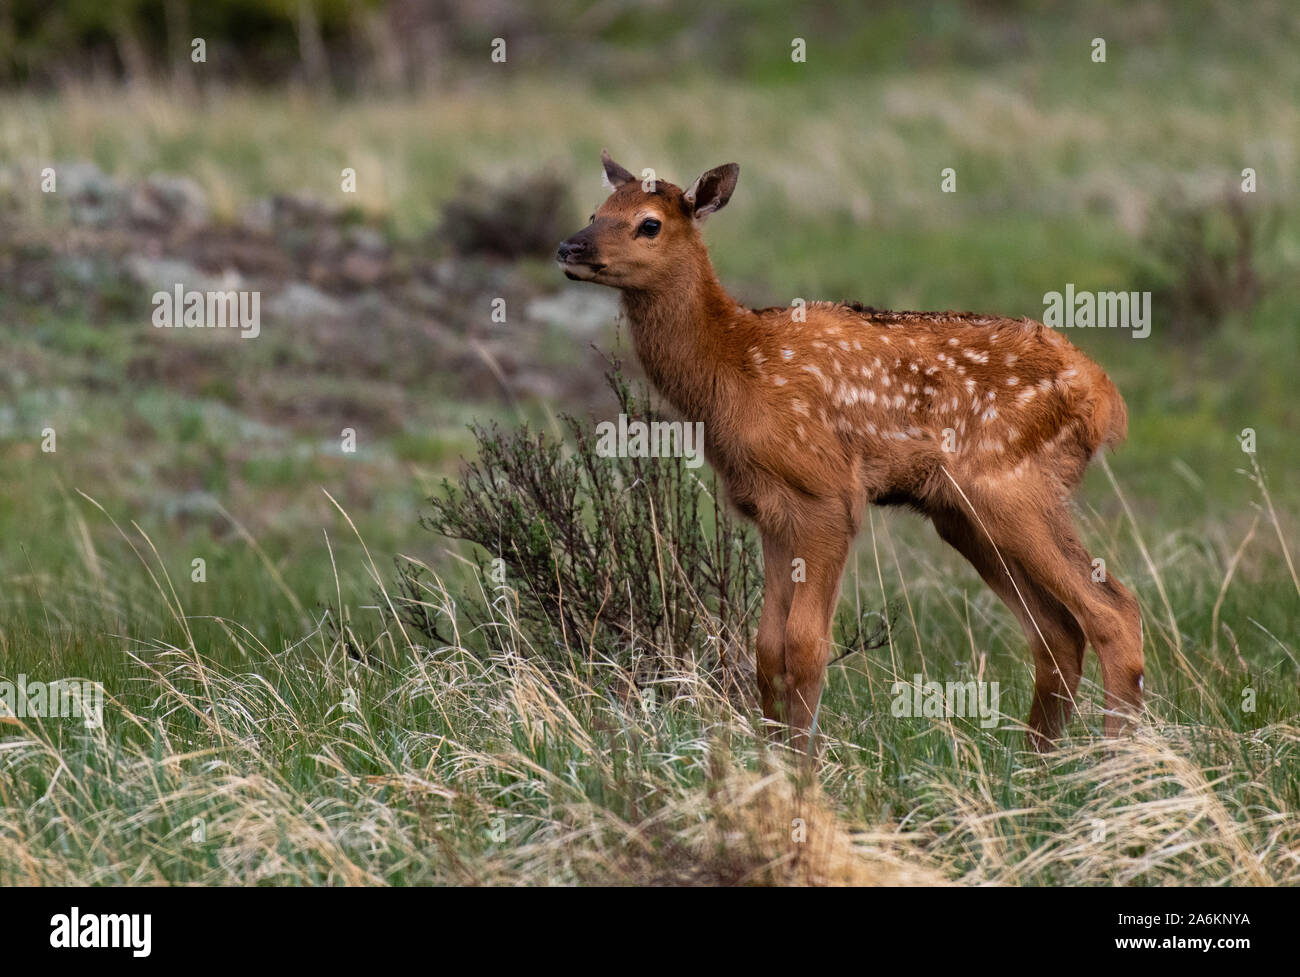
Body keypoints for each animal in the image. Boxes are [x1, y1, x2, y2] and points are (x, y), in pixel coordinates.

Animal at [556, 150, 1144, 754]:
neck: (736, 370)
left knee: (1113, 611)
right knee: (1059, 632)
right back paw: (1037, 763)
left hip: (1011, 483)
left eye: (649, 223)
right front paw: (775, 756)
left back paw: (1114, 759)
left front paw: (804, 764)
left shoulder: (829, 493)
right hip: (963, 513)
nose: (569, 248)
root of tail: (1104, 396)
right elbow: (766, 648)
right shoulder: (770, 507)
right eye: (596, 211)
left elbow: (805, 645)